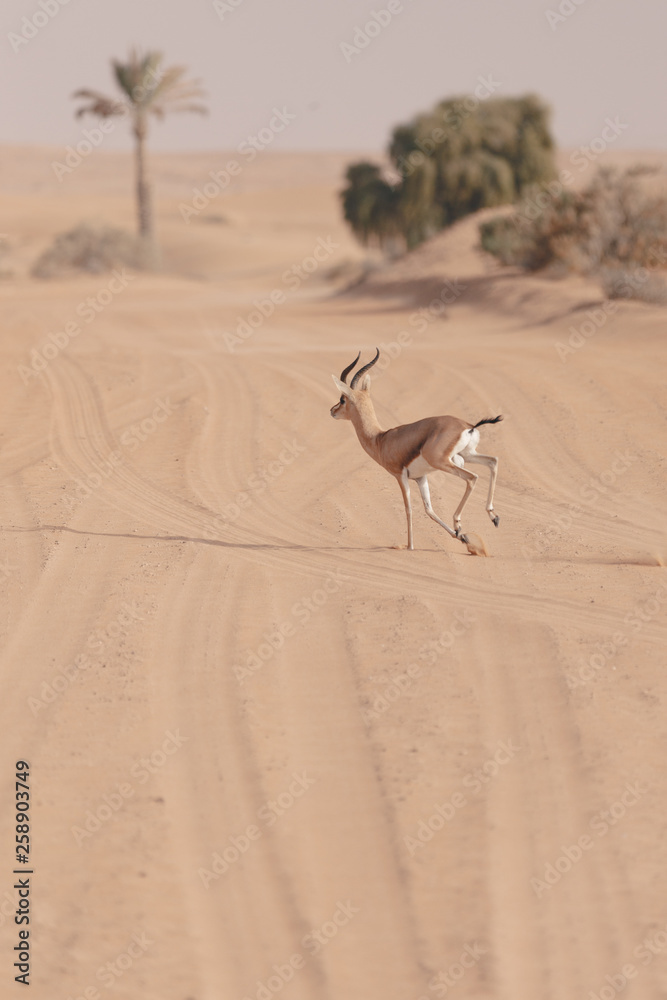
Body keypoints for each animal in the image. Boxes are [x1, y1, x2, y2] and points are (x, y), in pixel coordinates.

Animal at [330, 349, 502, 551]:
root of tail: (468, 426)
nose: (332, 411)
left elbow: (409, 509)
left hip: (444, 462)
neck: (381, 439)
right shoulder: (421, 477)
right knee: (493, 461)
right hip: (467, 455)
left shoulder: (400, 476)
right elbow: (429, 510)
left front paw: (410, 546)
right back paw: (493, 517)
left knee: (472, 477)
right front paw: (461, 537)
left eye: (342, 399)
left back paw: (458, 522)